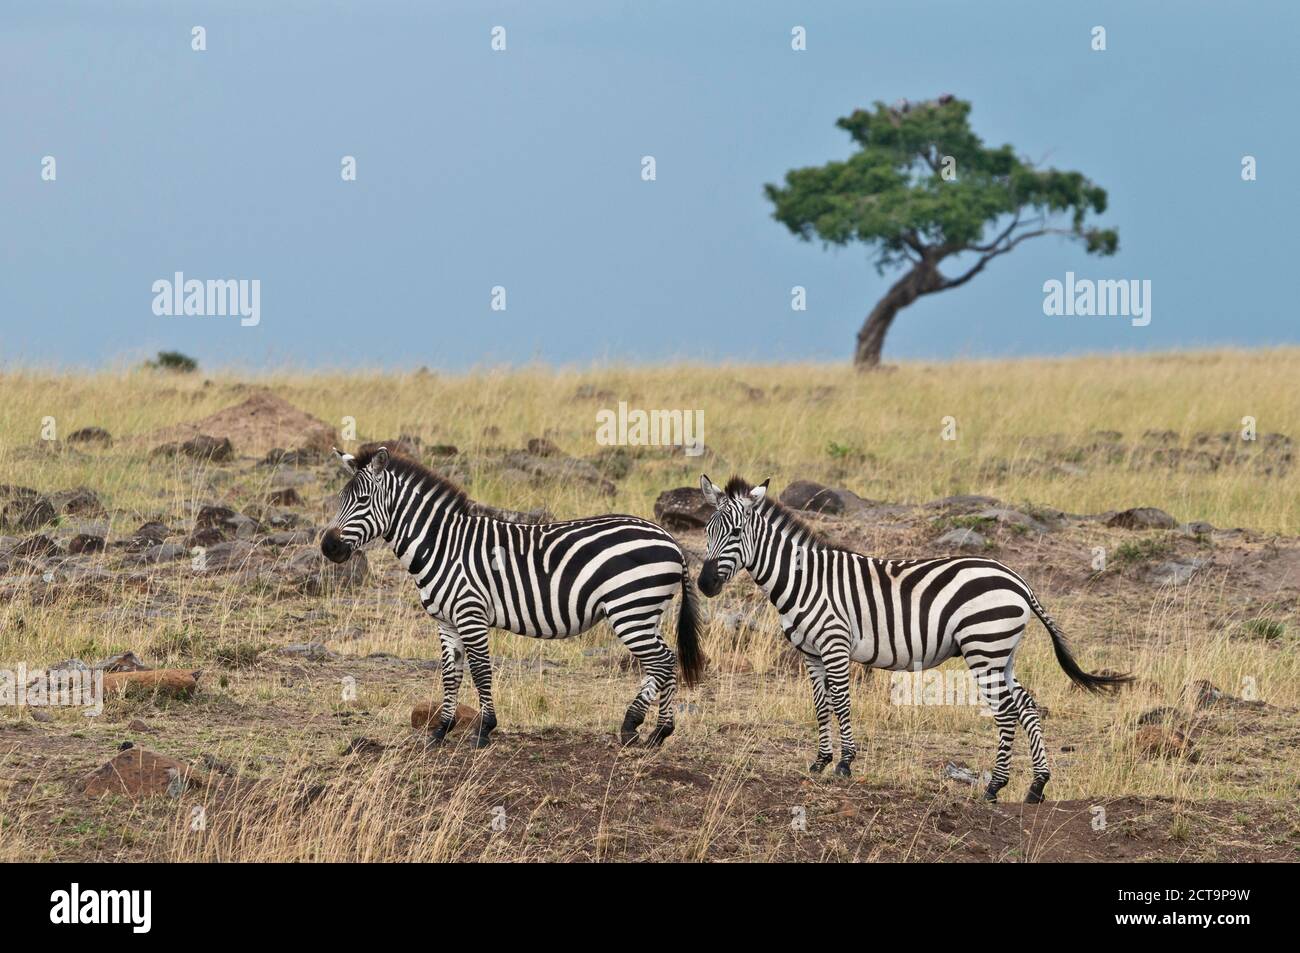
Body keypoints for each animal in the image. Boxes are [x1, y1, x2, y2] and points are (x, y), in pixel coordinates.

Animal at [320, 446, 703, 749]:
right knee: (662, 662)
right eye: (340, 500)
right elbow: (450, 674)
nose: (328, 547)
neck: (441, 546)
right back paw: (648, 730)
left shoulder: (470, 614)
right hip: (644, 612)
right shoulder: (446, 622)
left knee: (663, 661)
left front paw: (483, 730)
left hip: (630, 608)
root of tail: (670, 539)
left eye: (363, 501)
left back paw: (644, 729)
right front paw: (440, 731)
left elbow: (480, 671)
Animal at [696, 475, 1130, 802]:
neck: (803, 581)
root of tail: (1017, 579)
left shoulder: (835, 645)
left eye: (736, 532)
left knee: (1006, 711)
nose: (704, 584)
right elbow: (820, 706)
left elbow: (840, 702)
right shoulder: (810, 653)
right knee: (1025, 704)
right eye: (707, 531)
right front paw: (820, 761)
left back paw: (994, 787)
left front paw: (845, 763)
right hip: (1001, 652)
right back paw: (1037, 786)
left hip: (984, 648)